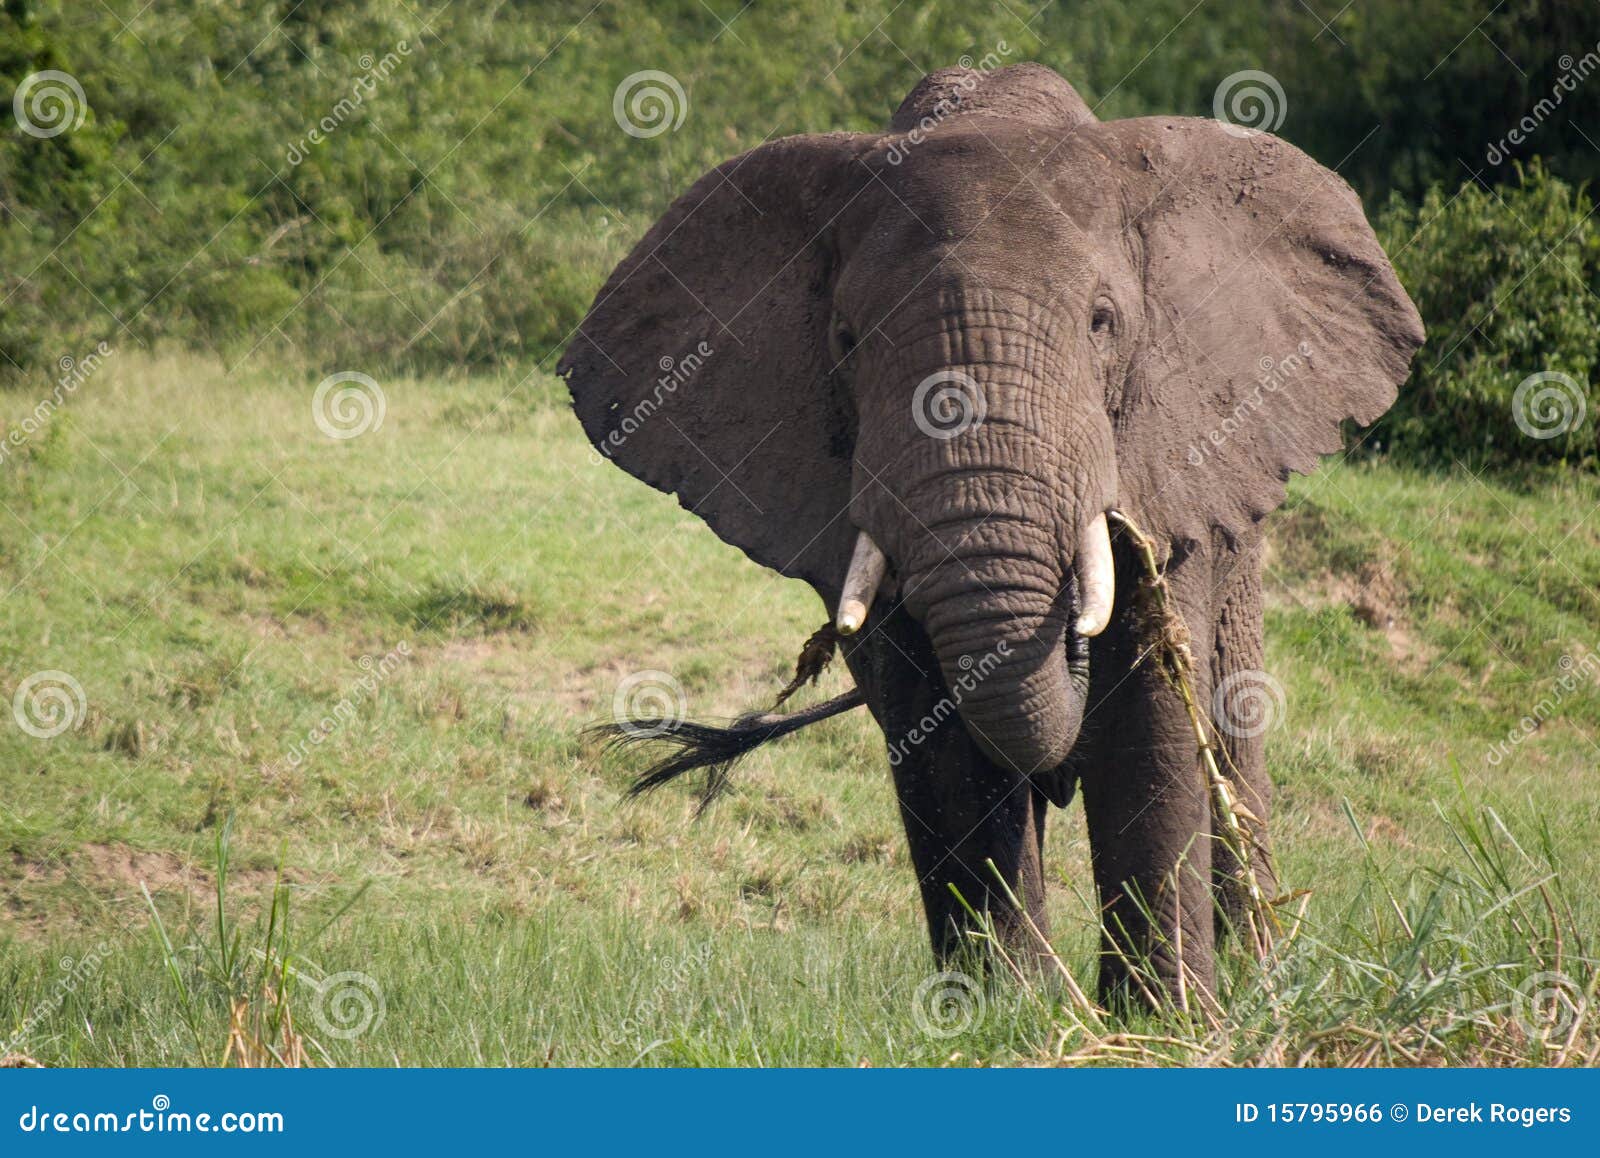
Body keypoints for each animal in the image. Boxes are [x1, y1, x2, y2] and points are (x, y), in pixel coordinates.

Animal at [560, 63, 1423, 1003]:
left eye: (1102, 322)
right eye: (846, 339)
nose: (1066, 634)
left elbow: (1153, 701)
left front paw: (1165, 1017)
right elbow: (931, 721)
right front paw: (1005, 1011)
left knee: (1229, 727)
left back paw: (1257, 973)